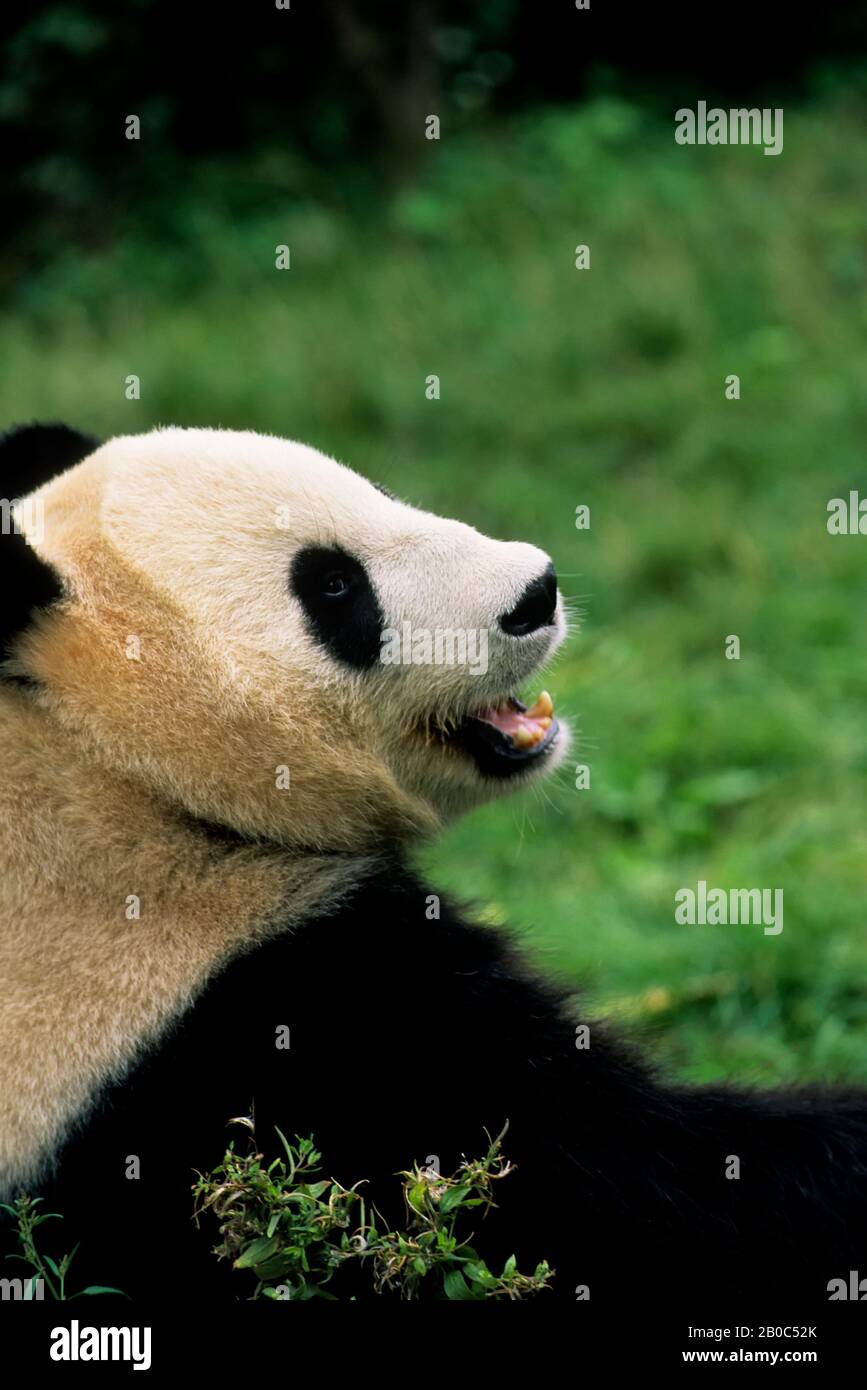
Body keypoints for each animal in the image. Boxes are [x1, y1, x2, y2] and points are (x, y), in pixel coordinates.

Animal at [1, 421, 865, 1308]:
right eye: (334, 588)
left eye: (376, 491)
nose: (535, 591)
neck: (114, 767)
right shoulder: (250, 1021)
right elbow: (632, 1195)